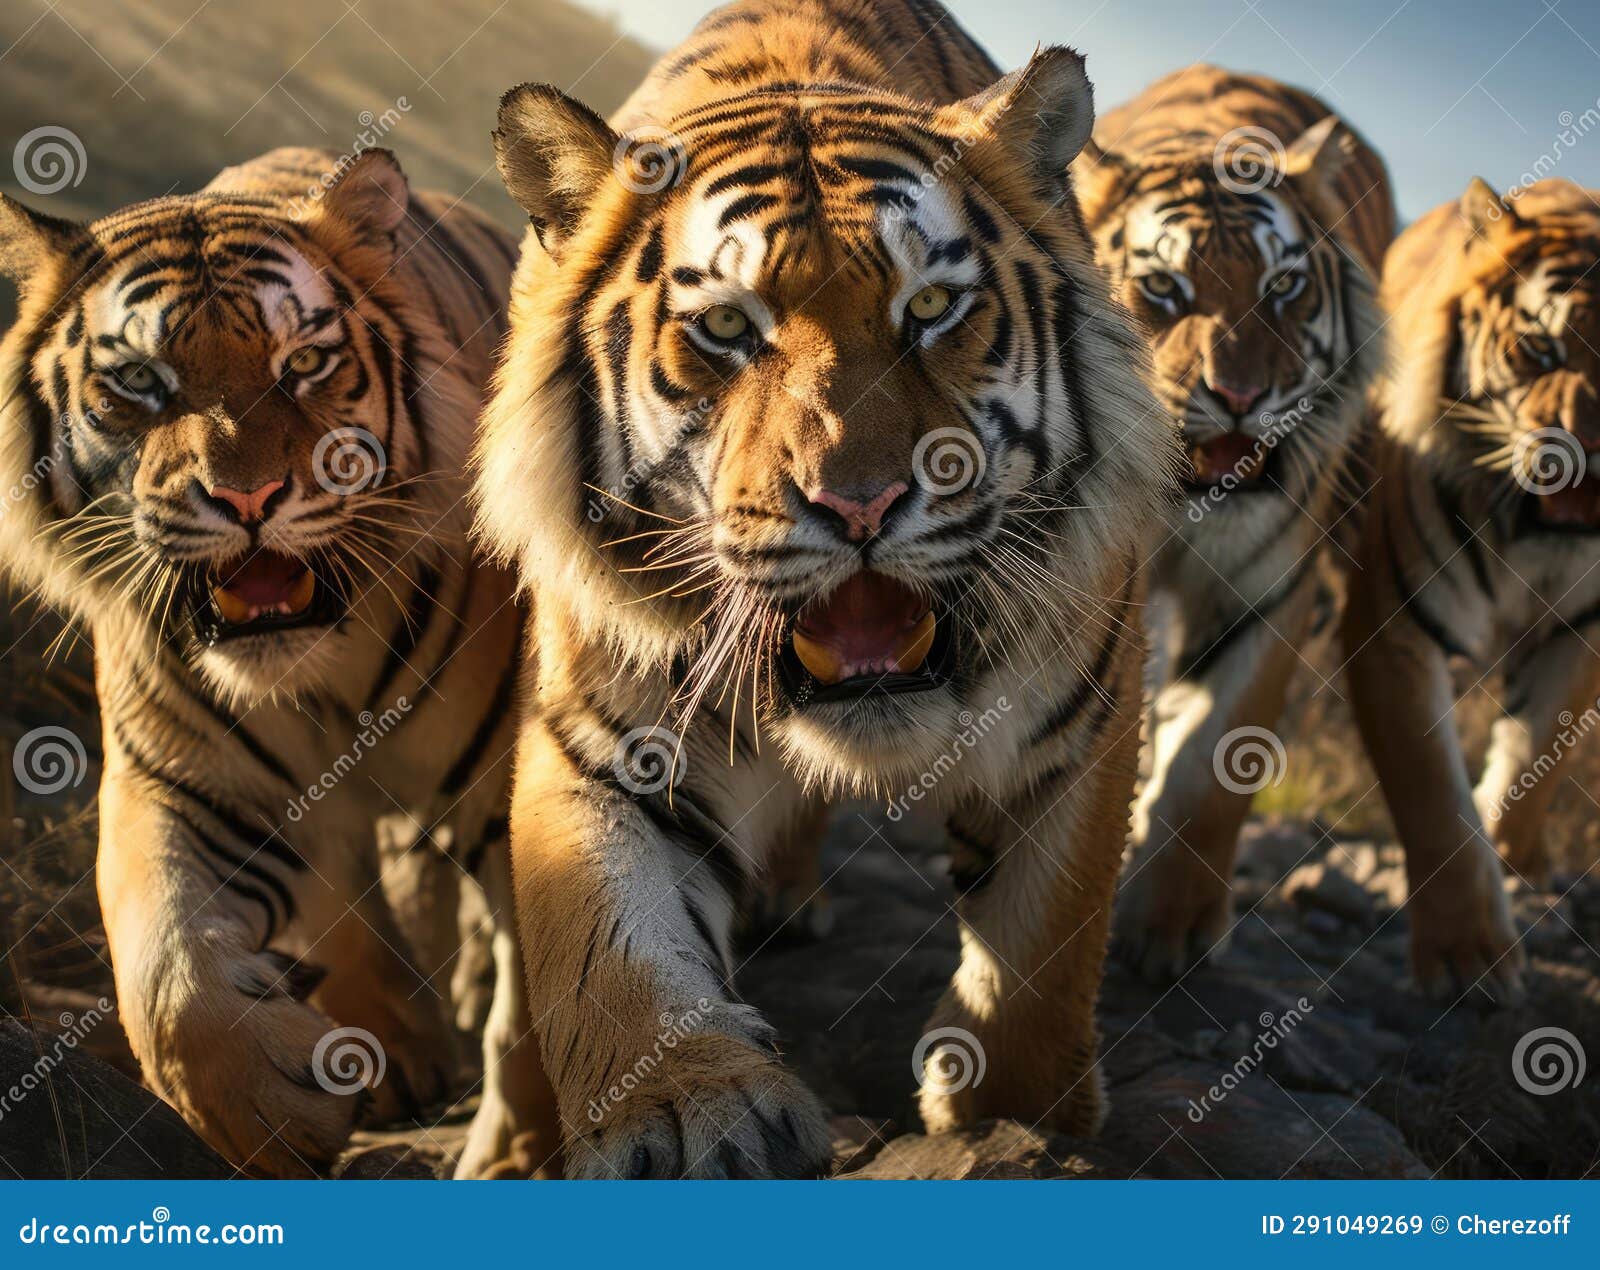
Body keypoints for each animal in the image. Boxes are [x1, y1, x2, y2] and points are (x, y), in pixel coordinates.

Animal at [0, 148, 557, 1177]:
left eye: (303, 364)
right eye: (138, 380)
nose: (248, 497)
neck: (318, 671)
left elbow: (559, 986)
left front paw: (527, 1158)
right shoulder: (185, 785)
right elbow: (163, 965)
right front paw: (271, 1109)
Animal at [473, 0, 1176, 1178]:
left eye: (931, 307)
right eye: (724, 328)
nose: (860, 503)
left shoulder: (1084, 711)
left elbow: (1045, 935)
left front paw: (1025, 1115)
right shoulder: (606, 733)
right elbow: (608, 948)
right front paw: (686, 1115)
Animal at [1070, 66, 1395, 981]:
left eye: (1282, 289)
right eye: (1163, 289)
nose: (1242, 397)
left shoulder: (1266, 590)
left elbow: (1212, 765)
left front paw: (1172, 932)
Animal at [1340, 177, 1600, 1004]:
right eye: (1541, 348)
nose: (1585, 450)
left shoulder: (1583, 630)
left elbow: (1538, 750)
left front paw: (1511, 853)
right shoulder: (1395, 621)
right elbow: (1431, 795)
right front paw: (1468, 957)